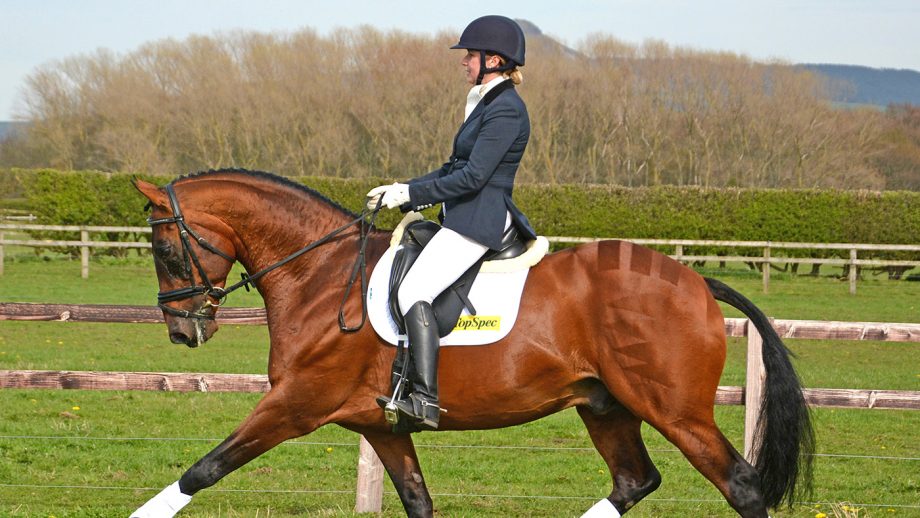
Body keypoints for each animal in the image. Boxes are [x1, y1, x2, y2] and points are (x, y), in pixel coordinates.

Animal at [131, 169, 813, 517]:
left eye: (165, 248)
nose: (182, 330)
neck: (321, 276)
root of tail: (696, 279)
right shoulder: (380, 425)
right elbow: (418, 501)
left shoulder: (297, 403)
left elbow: (203, 469)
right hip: (606, 406)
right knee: (634, 482)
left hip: (675, 410)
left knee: (741, 486)